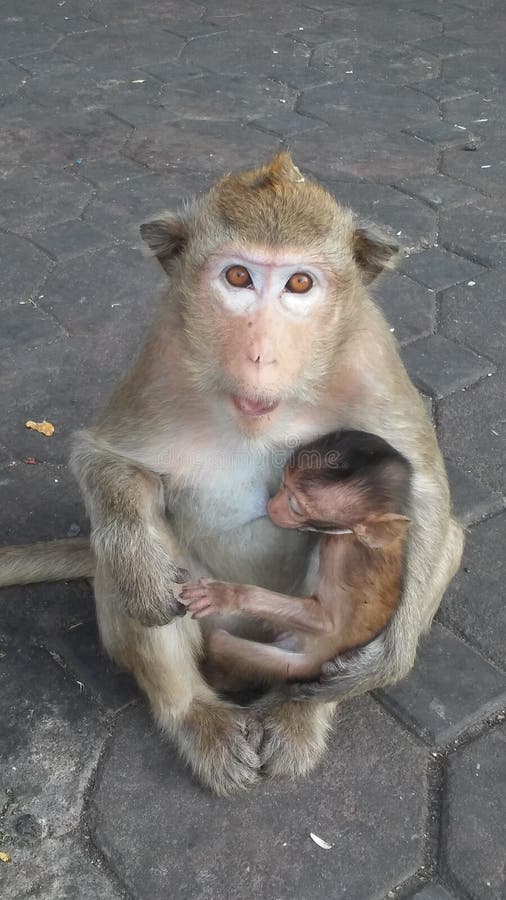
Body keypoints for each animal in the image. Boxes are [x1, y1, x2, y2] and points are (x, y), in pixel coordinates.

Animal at [180, 430, 412, 685]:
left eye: (294, 506)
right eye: (283, 483)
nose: (272, 505)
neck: (352, 537)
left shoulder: (341, 556)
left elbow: (326, 623)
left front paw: (226, 596)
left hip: (299, 662)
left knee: (219, 642)